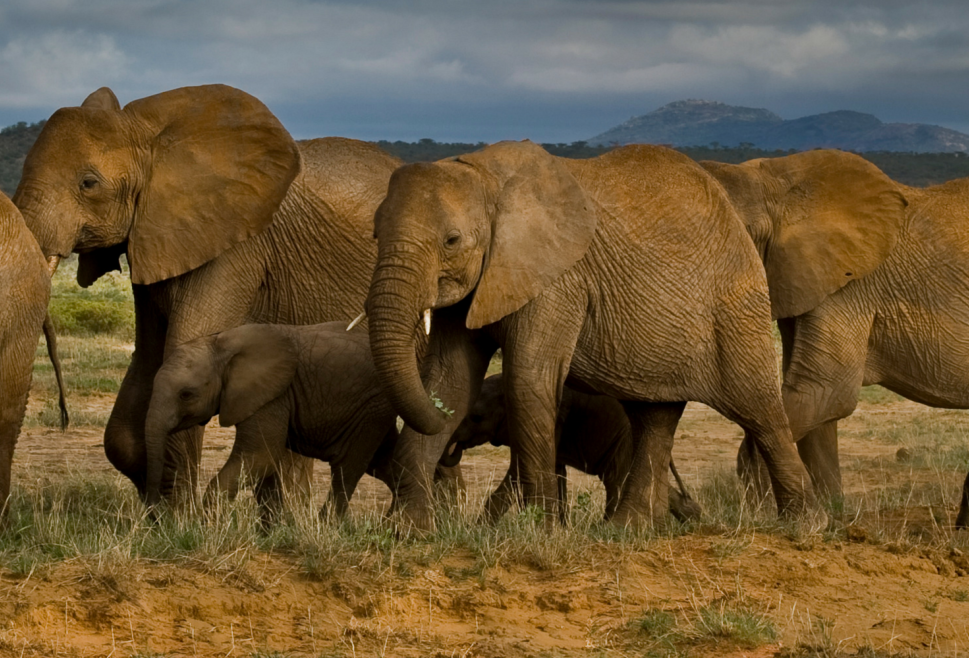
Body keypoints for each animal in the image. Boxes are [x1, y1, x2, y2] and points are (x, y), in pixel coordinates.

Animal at [15, 84, 401, 504]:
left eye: (88, 183)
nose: (63, 418)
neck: (150, 135)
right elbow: (146, 367)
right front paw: (157, 507)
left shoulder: (235, 248)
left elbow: (183, 351)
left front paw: (180, 515)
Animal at [442, 374, 701, 523]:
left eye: (476, 417)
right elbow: (555, 472)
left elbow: (518, 471)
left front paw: (480, 529)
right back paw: (693, 519)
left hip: (624, 440)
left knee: (616, 481)